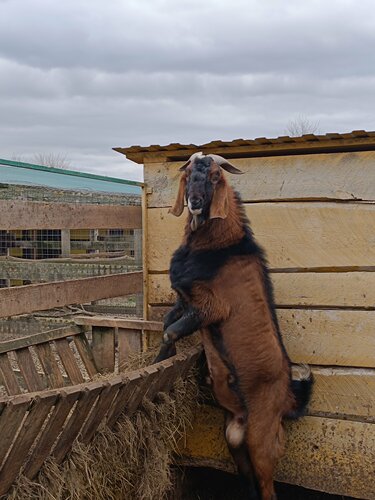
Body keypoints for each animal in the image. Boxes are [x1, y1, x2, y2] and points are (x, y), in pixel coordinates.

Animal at [154, 152, 312, 500]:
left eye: (215, 176)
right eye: (189, 173)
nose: (195, 202)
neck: (221, 248)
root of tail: (287, 399)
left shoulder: (210, 308)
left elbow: (170, 331)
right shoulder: (184, 302)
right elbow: (166, 327)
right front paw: (154, 366)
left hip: (261, 438)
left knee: (267, 487)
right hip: (234, 438)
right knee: (249, 483)